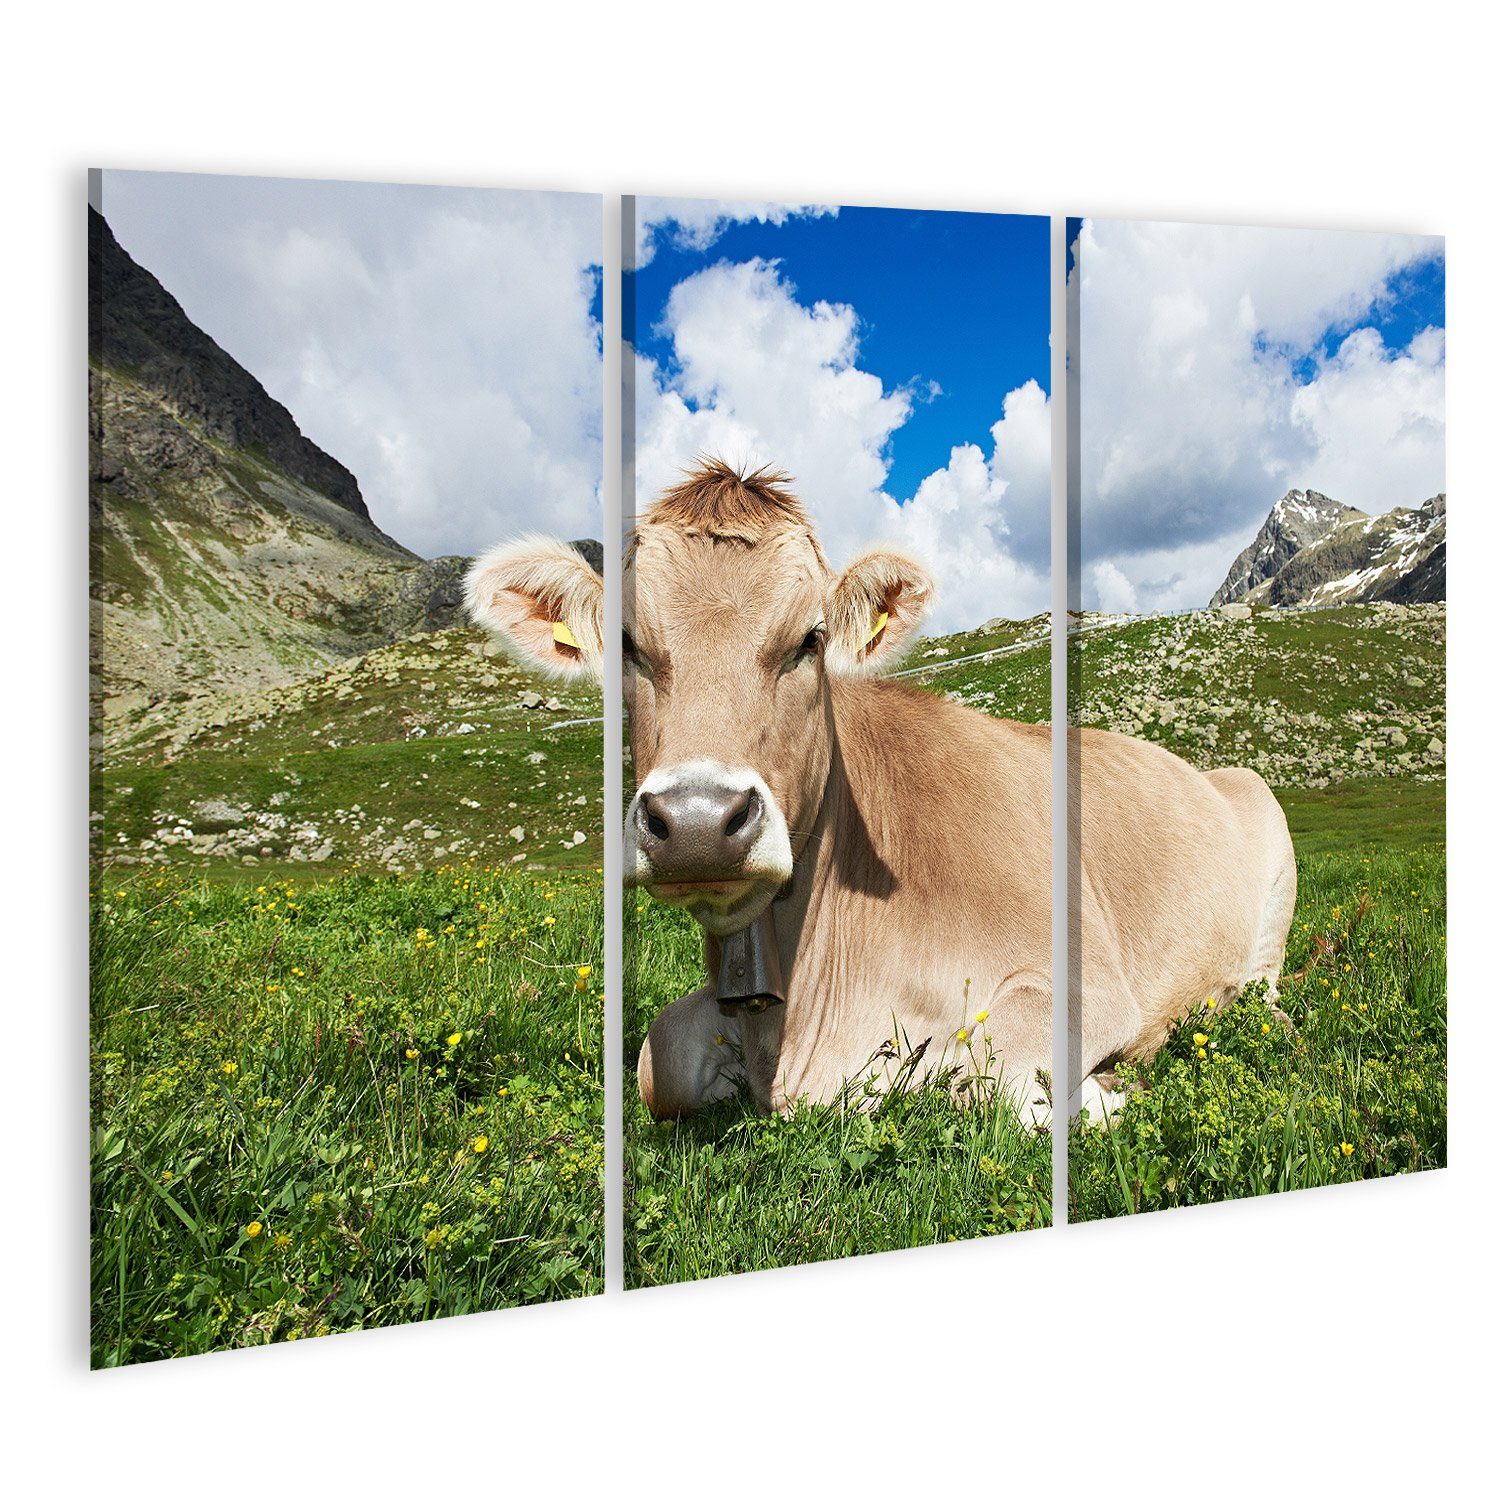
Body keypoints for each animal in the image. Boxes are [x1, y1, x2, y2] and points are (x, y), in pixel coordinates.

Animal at [463, 459, 1297, 1125]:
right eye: (630, 647)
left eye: (809, 640)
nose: (698, 821)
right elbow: (656, 1058)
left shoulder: (1086, 976)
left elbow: (996, 1074)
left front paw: (1095, 1091)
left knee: (1264, 993)